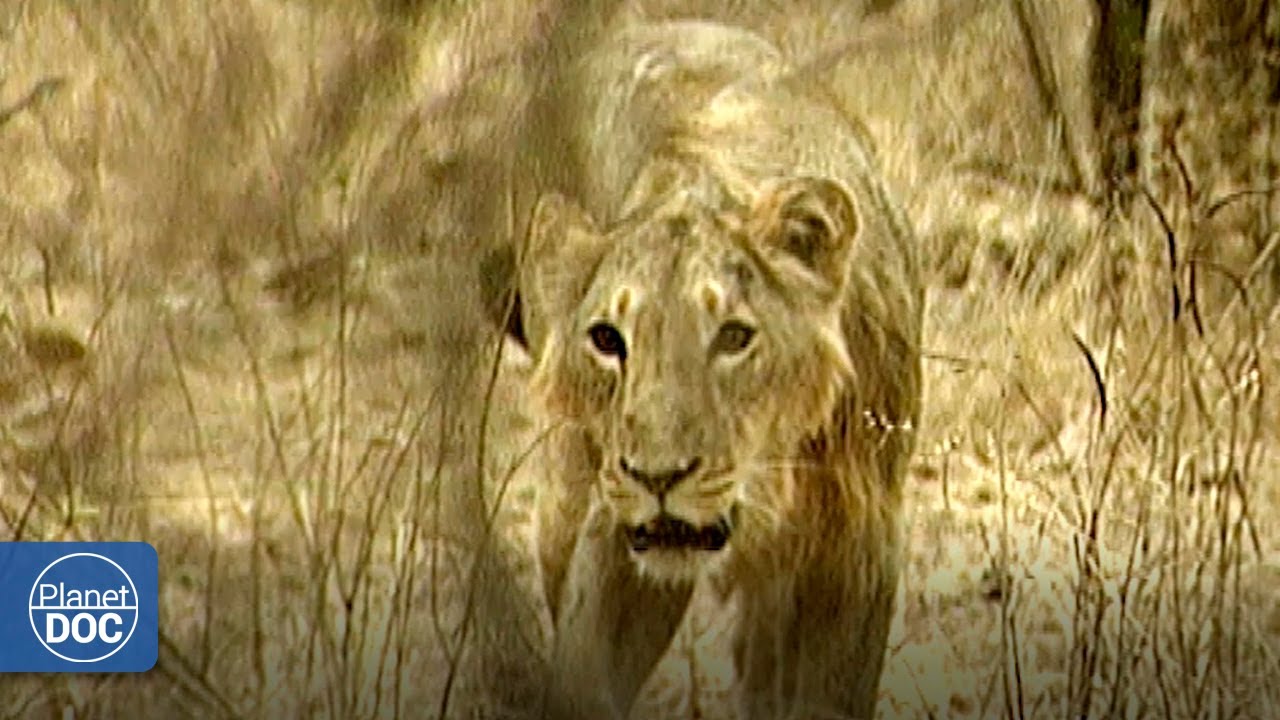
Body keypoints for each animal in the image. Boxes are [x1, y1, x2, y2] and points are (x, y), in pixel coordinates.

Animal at [509, 18, 923, 720]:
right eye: (607, 340)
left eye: (733, 338)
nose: (657, 477)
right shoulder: (618, 532)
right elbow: (585, 667)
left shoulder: (857, 541)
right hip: (567, 484)